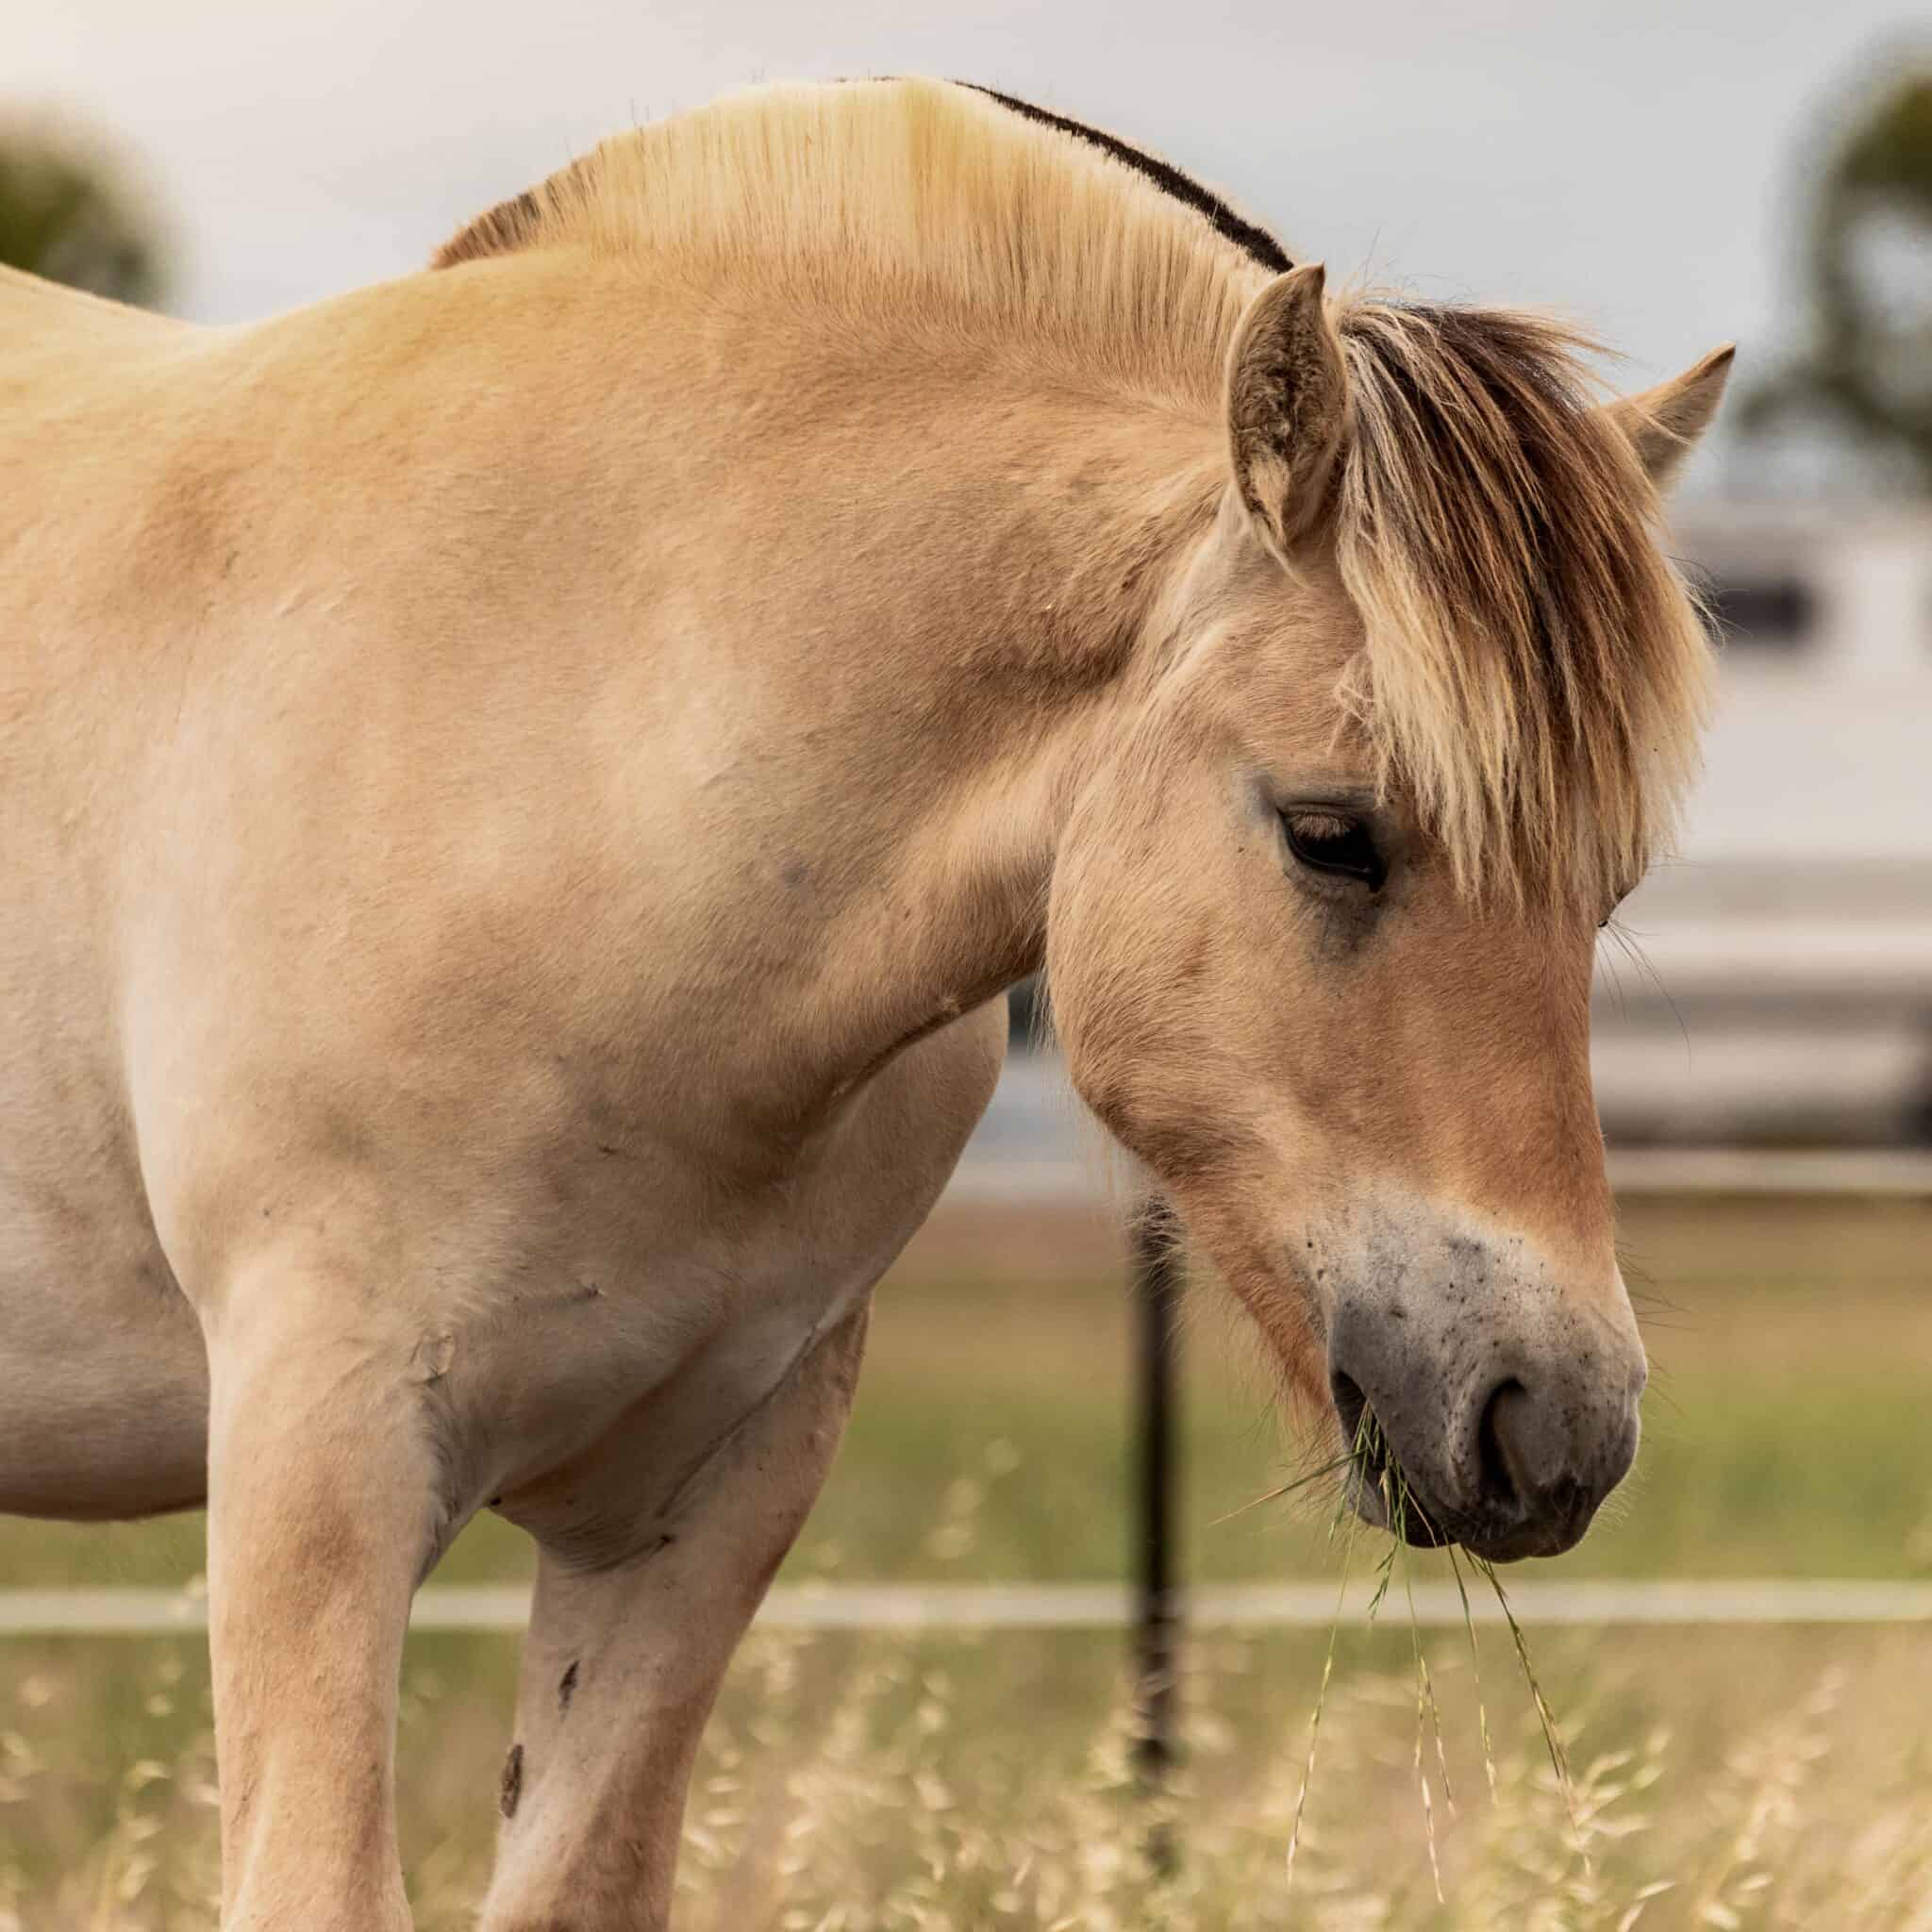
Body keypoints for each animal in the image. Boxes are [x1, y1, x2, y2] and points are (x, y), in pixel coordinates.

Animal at [0, 75, 1730, 1930]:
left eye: (1606, 889)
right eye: (1333, 836)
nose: (1555, 1421)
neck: (573, 724)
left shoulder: (698, 1503)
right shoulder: (317, 1461)